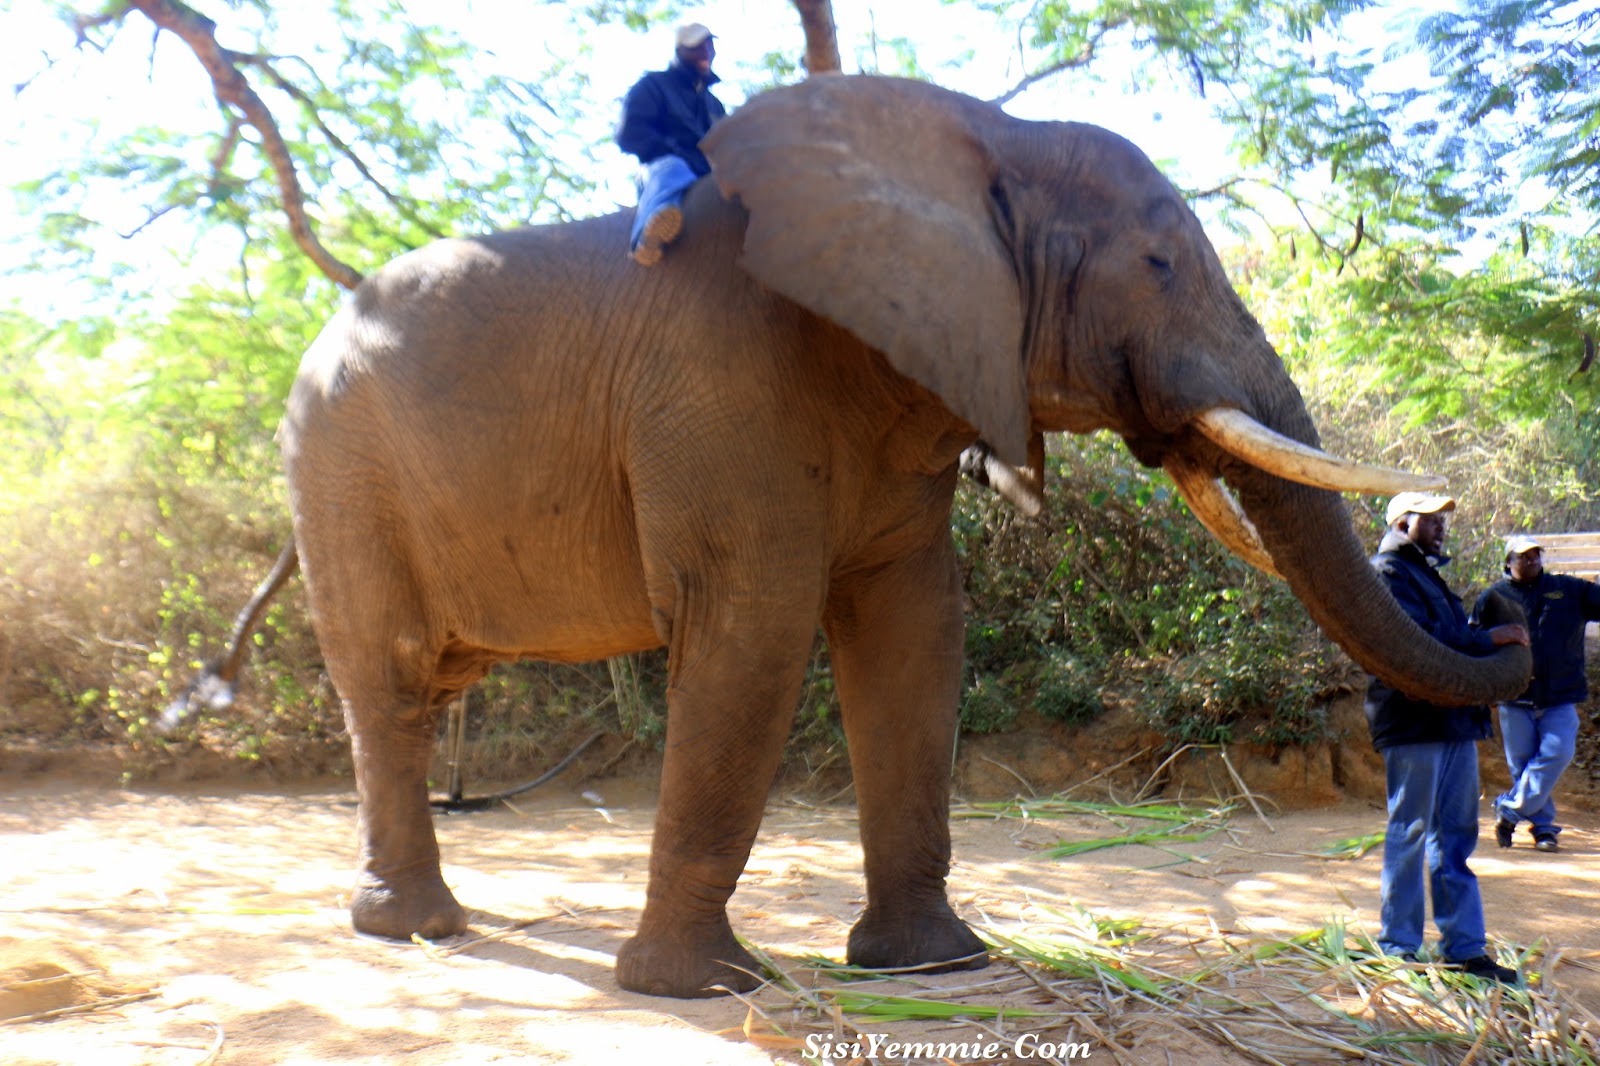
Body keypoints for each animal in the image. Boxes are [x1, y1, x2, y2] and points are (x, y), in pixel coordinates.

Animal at [232, 74, 1530, 999]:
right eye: (1159, 264)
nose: (1514, 623)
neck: (985, 138)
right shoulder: (719, 380)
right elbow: (753, 631)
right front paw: (697, 990)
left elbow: (914, 629)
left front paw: (936, 962)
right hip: (338, 471)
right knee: (390, 679)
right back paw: (413, 928)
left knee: (428, 679)